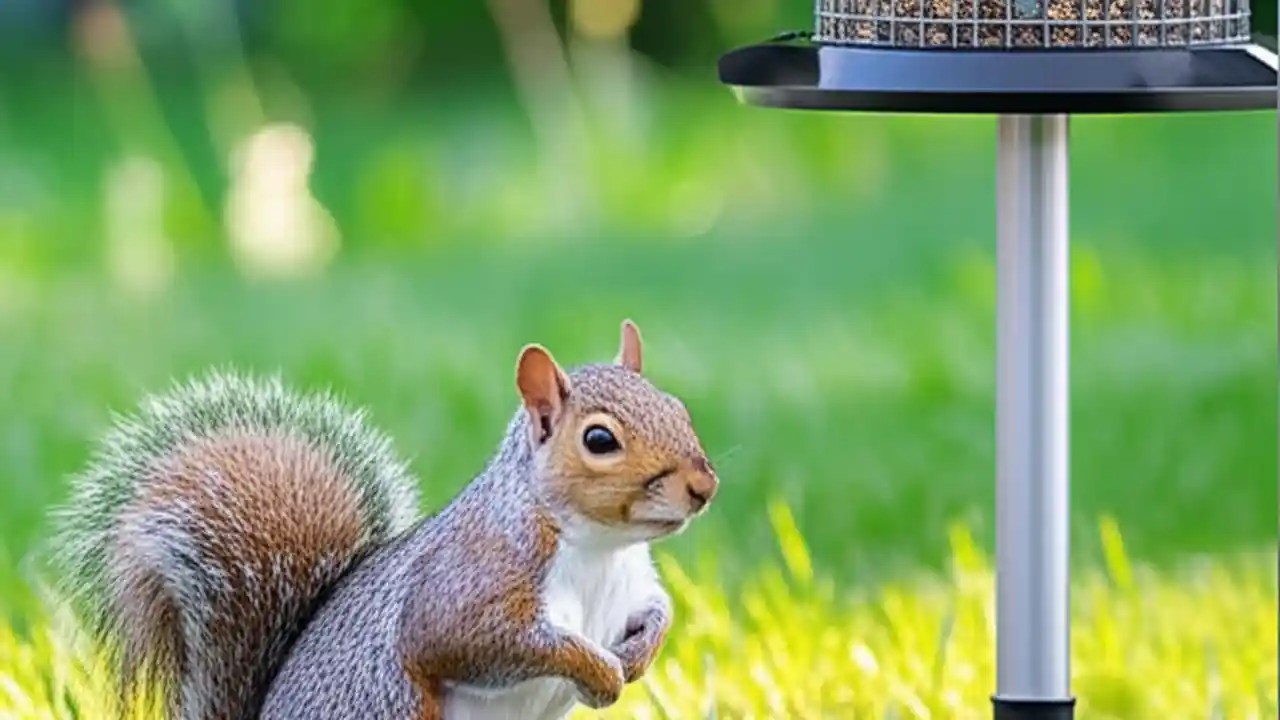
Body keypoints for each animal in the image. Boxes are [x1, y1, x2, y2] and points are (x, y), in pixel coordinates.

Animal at [48, 319, 719, 720]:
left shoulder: (632, 589)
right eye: (600, 439)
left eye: (679, 408)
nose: (704, 487)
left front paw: (637, 657)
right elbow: (479, 640)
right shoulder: (469, 584)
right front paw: (600, 671)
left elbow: (659, 613)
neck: (601, 550)